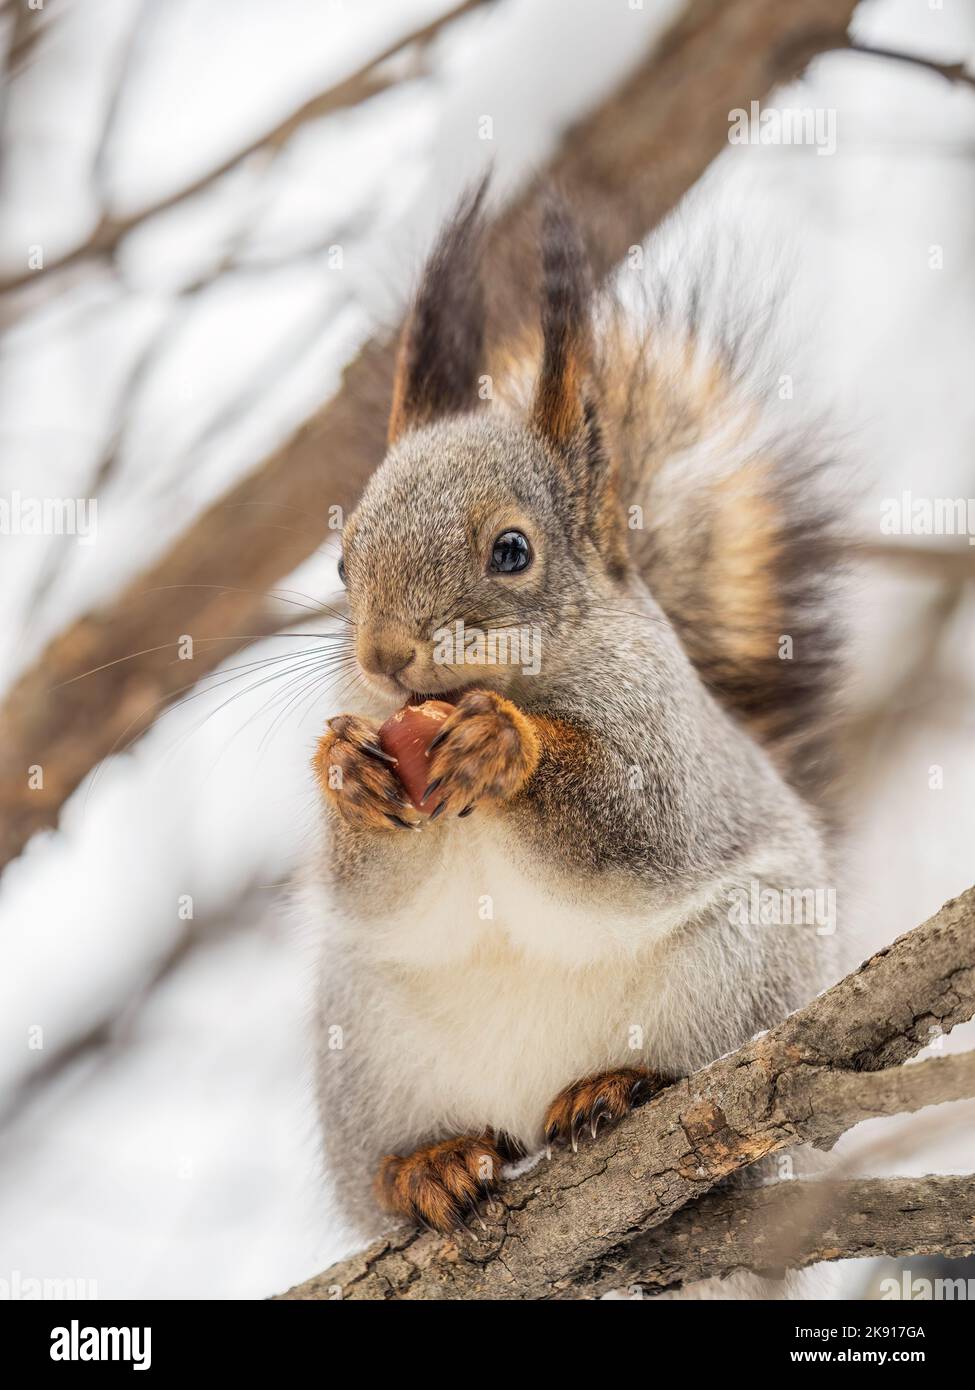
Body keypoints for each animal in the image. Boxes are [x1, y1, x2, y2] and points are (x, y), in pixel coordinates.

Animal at [310, 180, 842, 1251]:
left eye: (512, 551)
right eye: (341, 563)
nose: (384, 659)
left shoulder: (664, 739)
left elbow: (636, 826)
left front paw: (502, 748)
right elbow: (369, 889)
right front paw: (345, 768)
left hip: (744, 967)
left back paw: (620, 1086)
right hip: (365, 1050)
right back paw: (427, 1164)